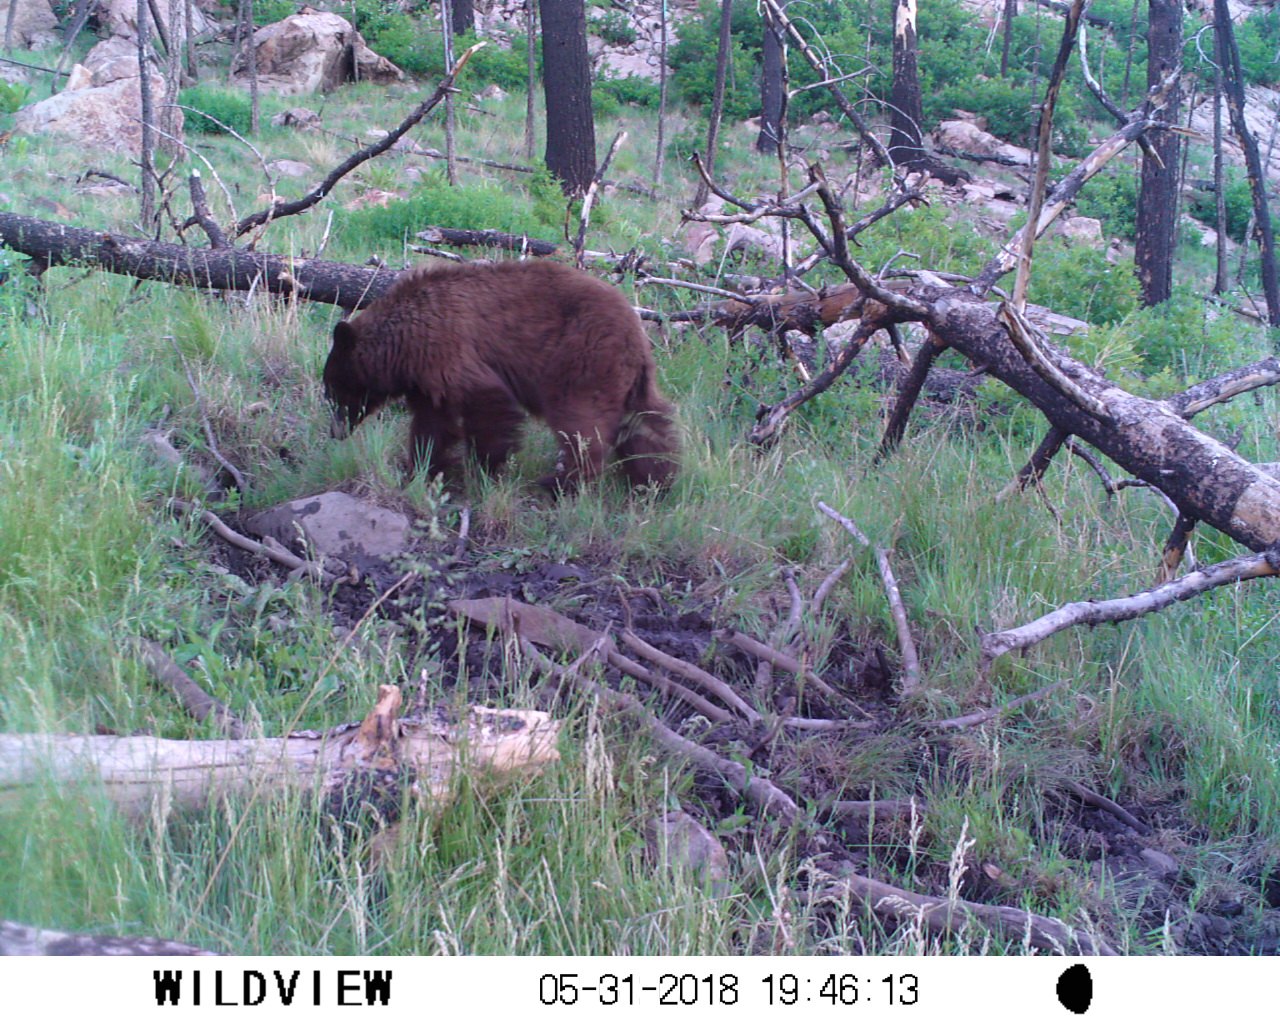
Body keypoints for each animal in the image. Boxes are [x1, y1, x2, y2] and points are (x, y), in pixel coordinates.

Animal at [323, 260, 679, 492]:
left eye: (332, 390)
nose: (335, 432)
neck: (402, 339)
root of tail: (636, 331)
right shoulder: (426, 379)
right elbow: (433, 424)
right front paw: (419, 467)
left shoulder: (447, 347)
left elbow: (486, 400)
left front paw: (486, 467)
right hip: (629, 376)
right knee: (647, 423)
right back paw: (654, 479)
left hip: (582, 356)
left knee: (580, 421)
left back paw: (560, 483)